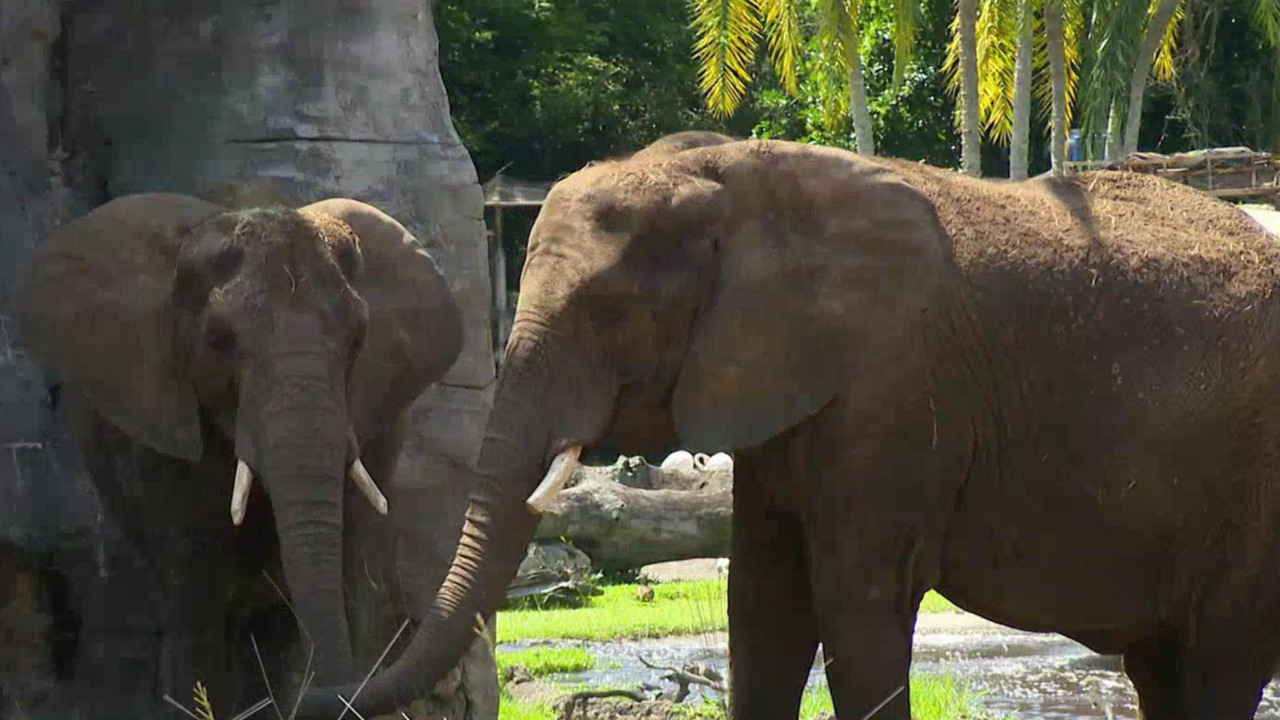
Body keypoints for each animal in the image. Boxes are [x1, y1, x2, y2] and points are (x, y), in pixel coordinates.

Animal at [12, 192, 468, 715]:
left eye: (358, 341)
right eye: (219, 341)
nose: (319, 696)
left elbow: (347, 574)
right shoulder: (158, 425)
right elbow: (196, 591)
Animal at [293, 132, 1280, 720]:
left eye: (607, 312)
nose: (316, 692)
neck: (738, 175)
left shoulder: (894, 389)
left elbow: (855, 603)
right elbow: (762, 603)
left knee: (1219, 664)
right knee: (1168, 669)